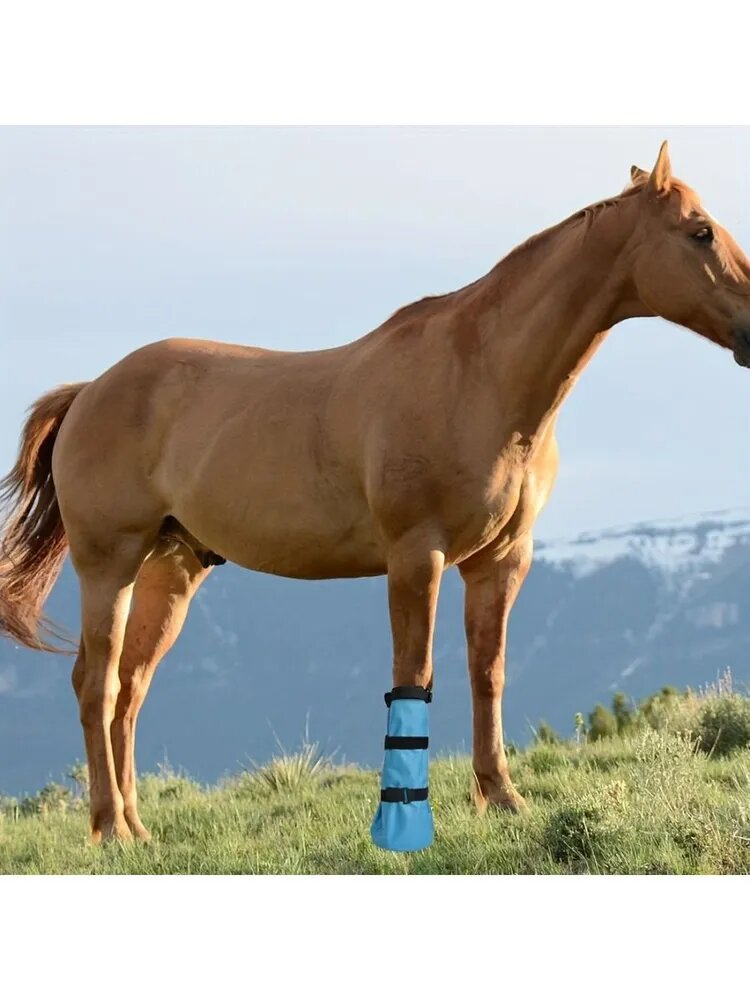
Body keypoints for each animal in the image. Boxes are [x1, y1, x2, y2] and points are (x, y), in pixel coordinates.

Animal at [2, 141, 750, 844]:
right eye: (700, 232)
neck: (479, 375)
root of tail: (89, 391)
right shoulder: (417, 557)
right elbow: (414, 674)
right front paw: (405, 817)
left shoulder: (501, 561)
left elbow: (488, 675)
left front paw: (502, 798)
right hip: (110, 564)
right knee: (96, 684)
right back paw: (109, 829)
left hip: (173, 569)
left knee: (129, 688)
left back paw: (136, 827)